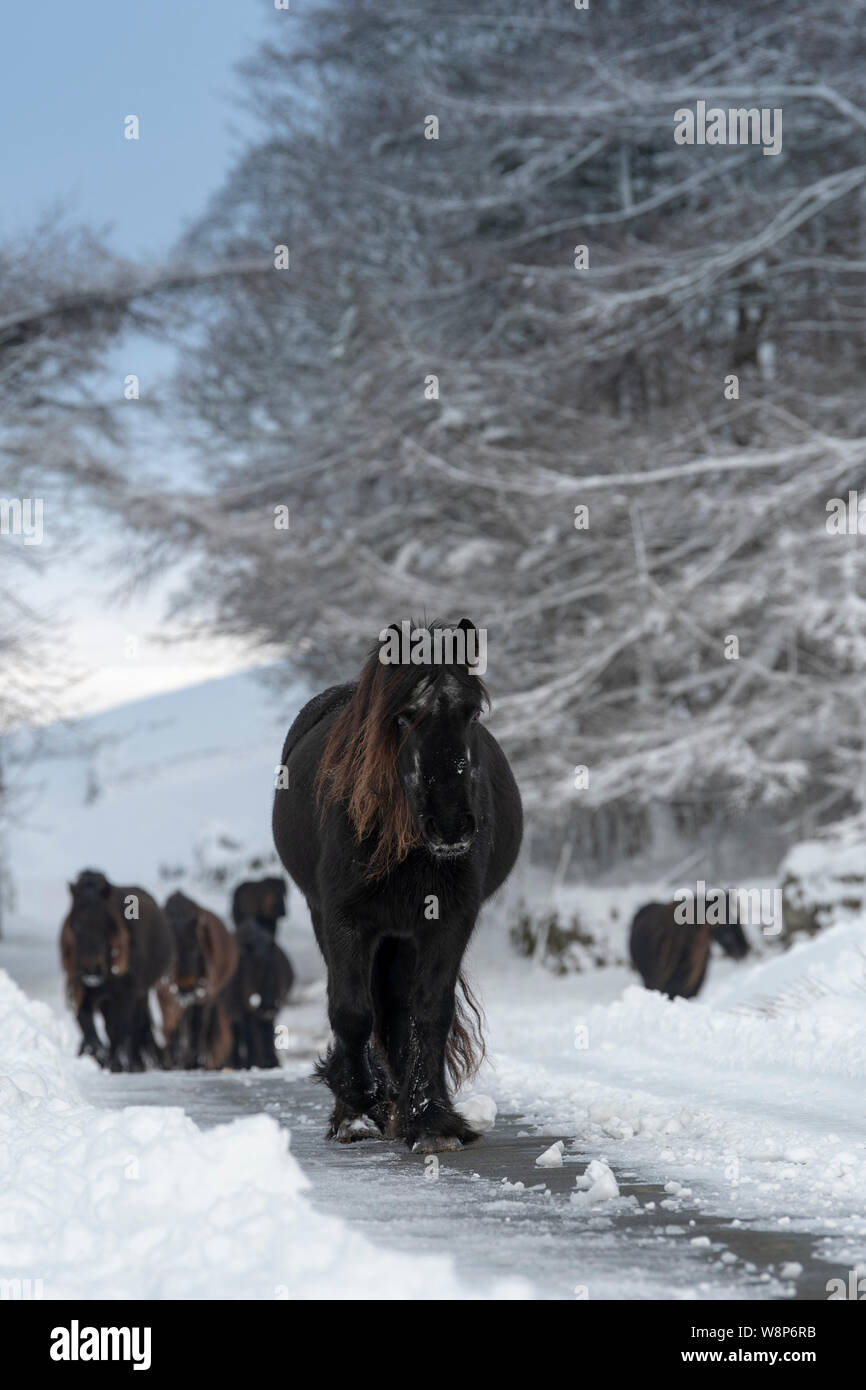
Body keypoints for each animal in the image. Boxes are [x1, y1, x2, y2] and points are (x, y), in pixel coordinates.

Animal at [59, 869, 173, 1071]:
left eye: (105, 924)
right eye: (75, 924)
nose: (91, 969)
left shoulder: (127, 994)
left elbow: (120, 1028)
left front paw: (115, 1064)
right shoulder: (85, 992)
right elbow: (87, 1023)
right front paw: (99, 1055)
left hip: (140, 994)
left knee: (135, 1026)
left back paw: (134, 1064)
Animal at [158, 891, 238, 1069]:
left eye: (196, 948)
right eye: (172, 952)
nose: (186, 986)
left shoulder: (204, 998)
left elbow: (198, 1028)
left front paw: (195, 1061)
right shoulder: (169, 997)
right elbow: (175, 1027)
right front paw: (176, 1059)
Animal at [227, 918, 295, 1068]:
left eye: (274, 969)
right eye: (251, 970)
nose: (267, 1005)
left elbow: (266, 1030)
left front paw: (270, 1062)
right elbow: (249, 1032)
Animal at [272, 619, 523, 1153]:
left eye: (472, 712)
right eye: (406, 716)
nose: (451, 826)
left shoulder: (448, 920)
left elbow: (427, 1013)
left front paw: (430, 1121)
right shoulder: (344, 919)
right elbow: (351, 1013)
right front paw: (358, 1108)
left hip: (404, 935)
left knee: (400, 1010)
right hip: (334, 921)